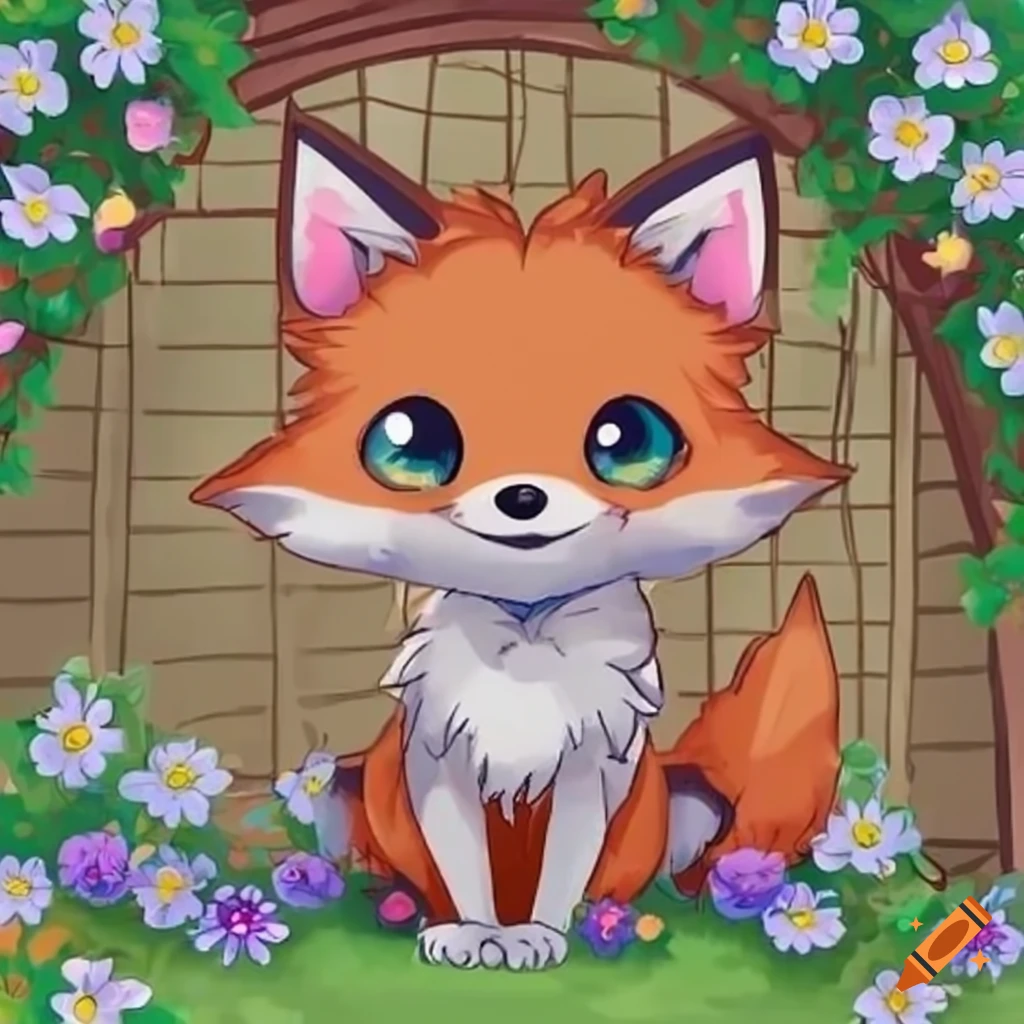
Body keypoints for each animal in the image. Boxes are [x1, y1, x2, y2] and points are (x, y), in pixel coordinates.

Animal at [191, 103, 848, 971]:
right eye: (412, 442)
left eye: (627, 439)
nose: (524, 496)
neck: (527, 641)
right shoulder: (436, 765)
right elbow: (461, 864)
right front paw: (472, 934)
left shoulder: (591, 772)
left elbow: (563, 869)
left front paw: (540, 937)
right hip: (333, 791)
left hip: (692, 801)